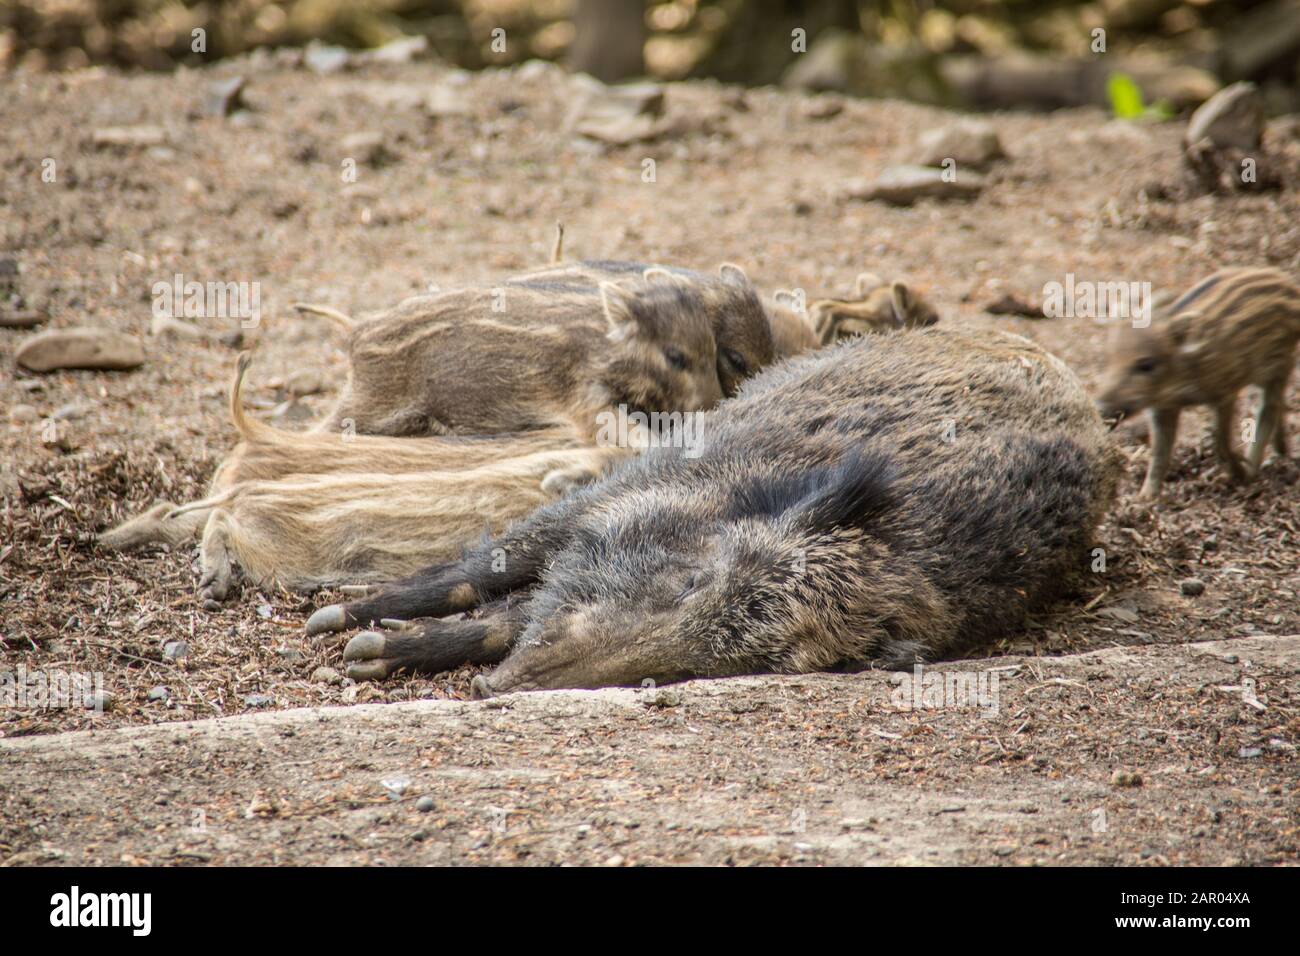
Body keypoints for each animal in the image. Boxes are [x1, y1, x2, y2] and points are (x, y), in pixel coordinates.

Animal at [305, 327, 1120, 693]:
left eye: (713, 666)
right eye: (691, 582)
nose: (494, 690)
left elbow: (509, 616)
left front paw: (368, 655)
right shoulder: (629, 487)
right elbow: (482, 570)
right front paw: (344, 635)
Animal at [1095, 266, 1300, 498]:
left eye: (1147, 365)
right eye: (1107, 359)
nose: (1101, 409)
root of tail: (1289, 285)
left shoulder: (1225, 391)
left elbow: (1220, 441)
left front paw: (1239, 473)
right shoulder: (1163, 408)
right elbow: (1159, 452)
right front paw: (1145, 498)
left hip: (1280, 364)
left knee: (1269, 408)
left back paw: (1255, 469)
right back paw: (1280, 452)